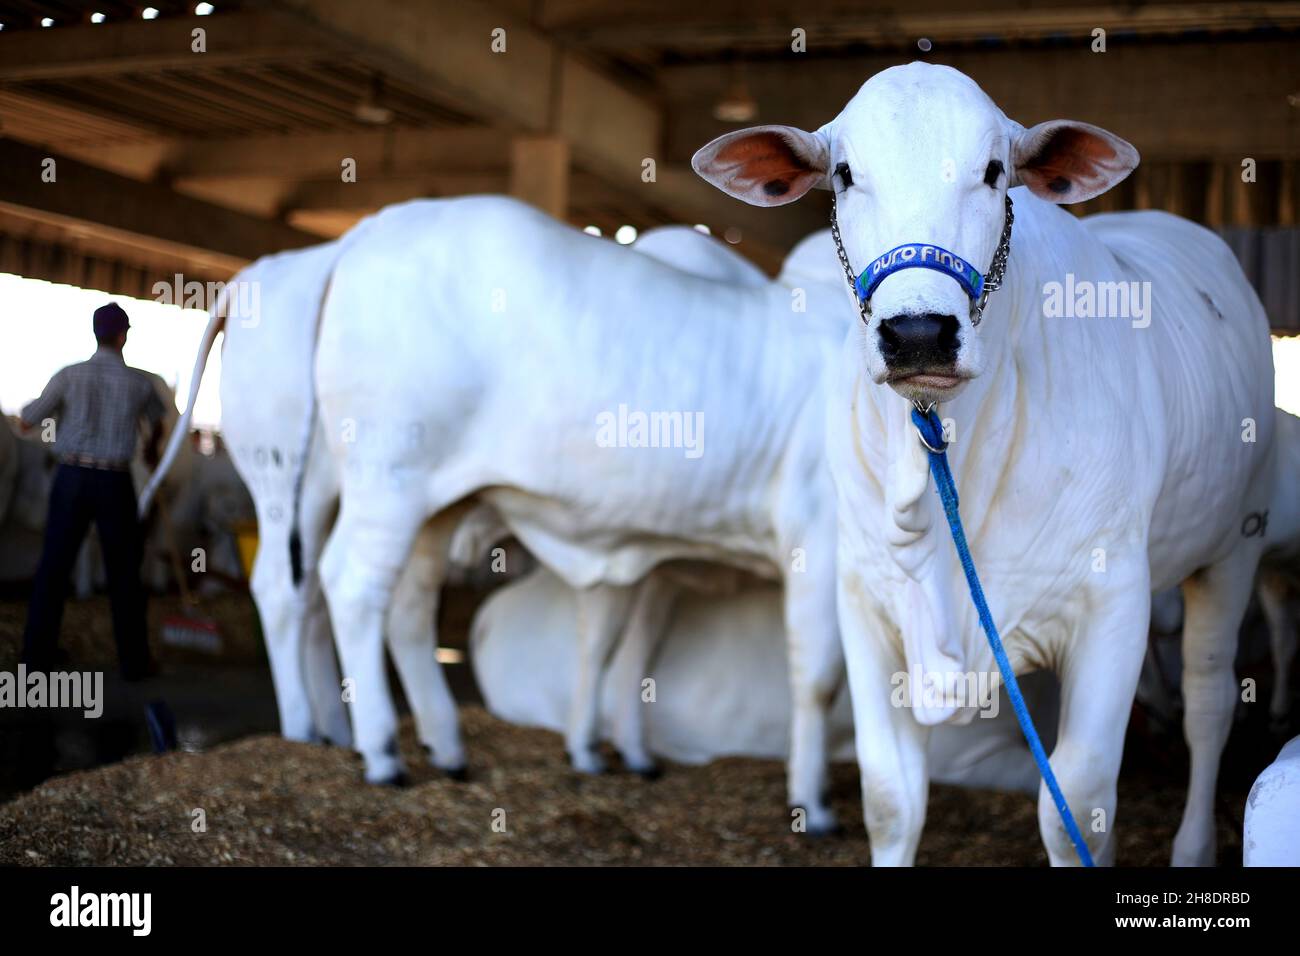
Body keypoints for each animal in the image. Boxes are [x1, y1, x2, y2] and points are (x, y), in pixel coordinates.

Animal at [309, 196, 848, 831]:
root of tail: (375, 226)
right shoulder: (821, 537)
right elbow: (818, 679)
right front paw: (812, 803)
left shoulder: (660, 566)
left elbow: (627, 650)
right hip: (386, 477)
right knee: (351, 586)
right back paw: (382, 753)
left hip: (435, 502)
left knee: (410, 610)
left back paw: (447, 747)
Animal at [693, 61, 1275, 865]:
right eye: (844, 174)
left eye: (995, 171)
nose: (917, 332)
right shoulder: (865, 605)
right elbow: (891, 800)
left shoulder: (1112, 603)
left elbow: (1076, 805)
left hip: (1234, 547)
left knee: (1210, 704)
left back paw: (1193, 846)